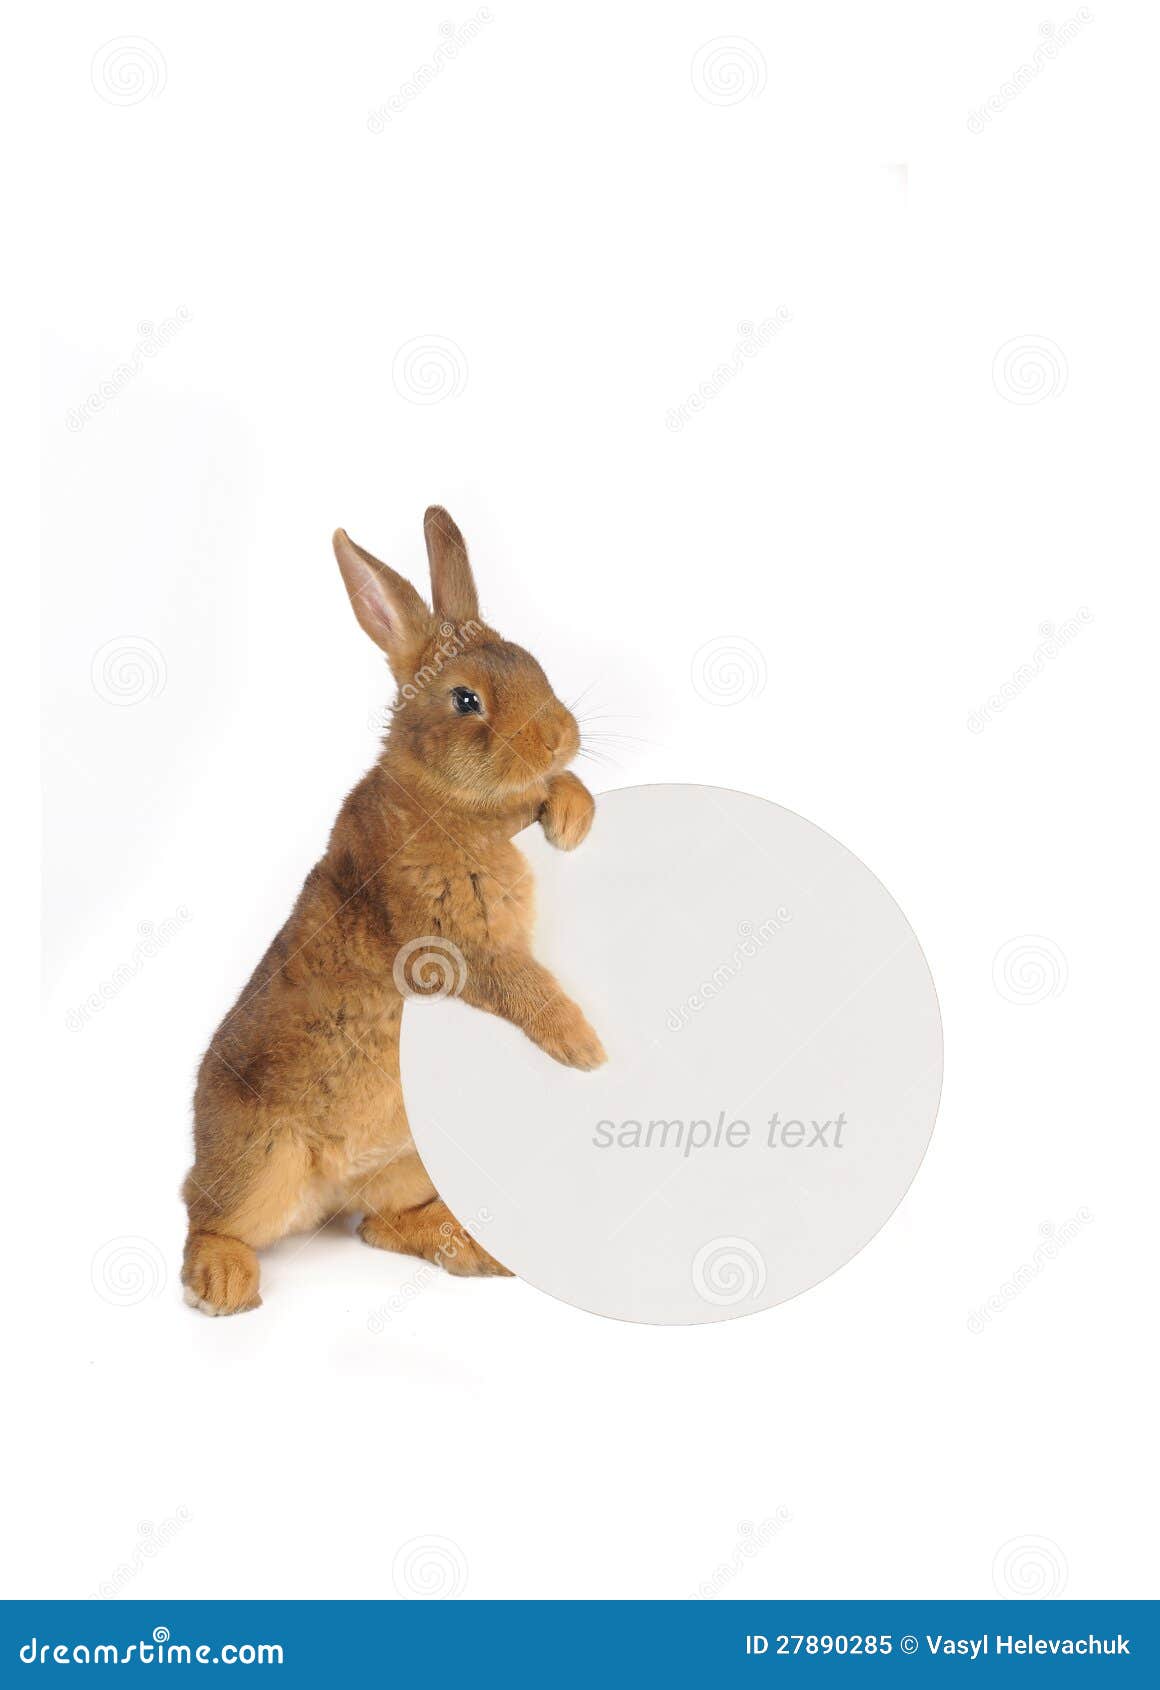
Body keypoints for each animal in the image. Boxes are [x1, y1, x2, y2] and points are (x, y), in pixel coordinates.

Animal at [181, 506, 605, 1315]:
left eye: (532, 662)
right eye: (466, 700)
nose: (558, 735)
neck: (446, 799)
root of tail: (329, 1192)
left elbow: (543, 799)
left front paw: (571, 816)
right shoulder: (451, 944)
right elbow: (524, 987)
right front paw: (584, 1047)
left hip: (407, 1164)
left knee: (378, 1227)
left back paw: (471, 1247)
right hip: (260, 1164)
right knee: (206, 1215)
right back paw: (223, 1285)